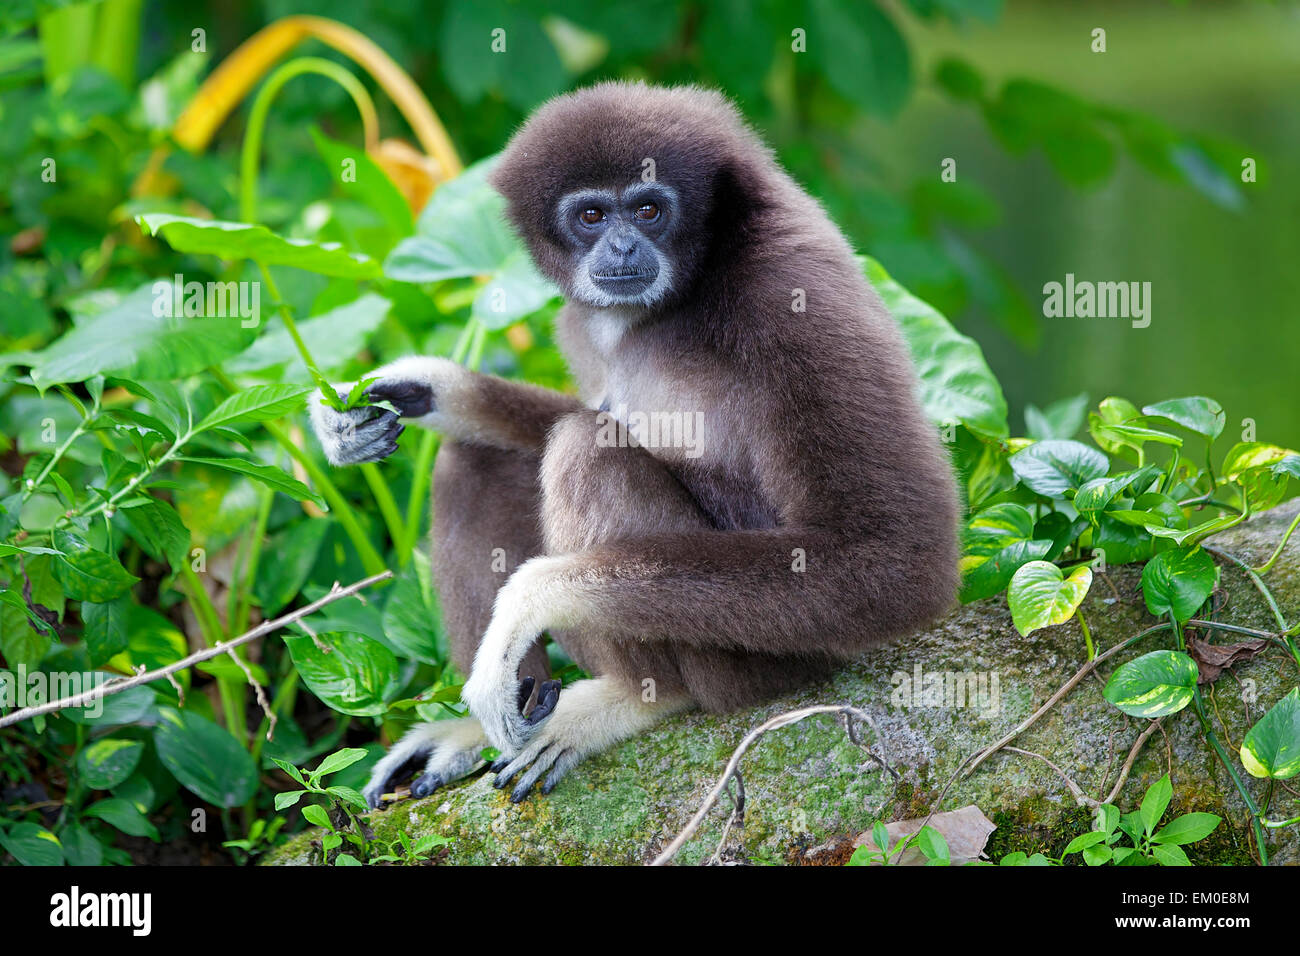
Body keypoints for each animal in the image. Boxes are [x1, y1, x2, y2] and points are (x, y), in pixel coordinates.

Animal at [309, 82, 961, 808]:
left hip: (767, 661)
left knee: (584, 449)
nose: (621, 248)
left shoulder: (795, 296)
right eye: (592, 215)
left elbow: (890, 560)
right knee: (476, 458)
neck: (691, 285)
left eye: (649, 209)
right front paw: (420, 388)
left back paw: (638, 698)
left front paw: (530, 599)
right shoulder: (580, 325)